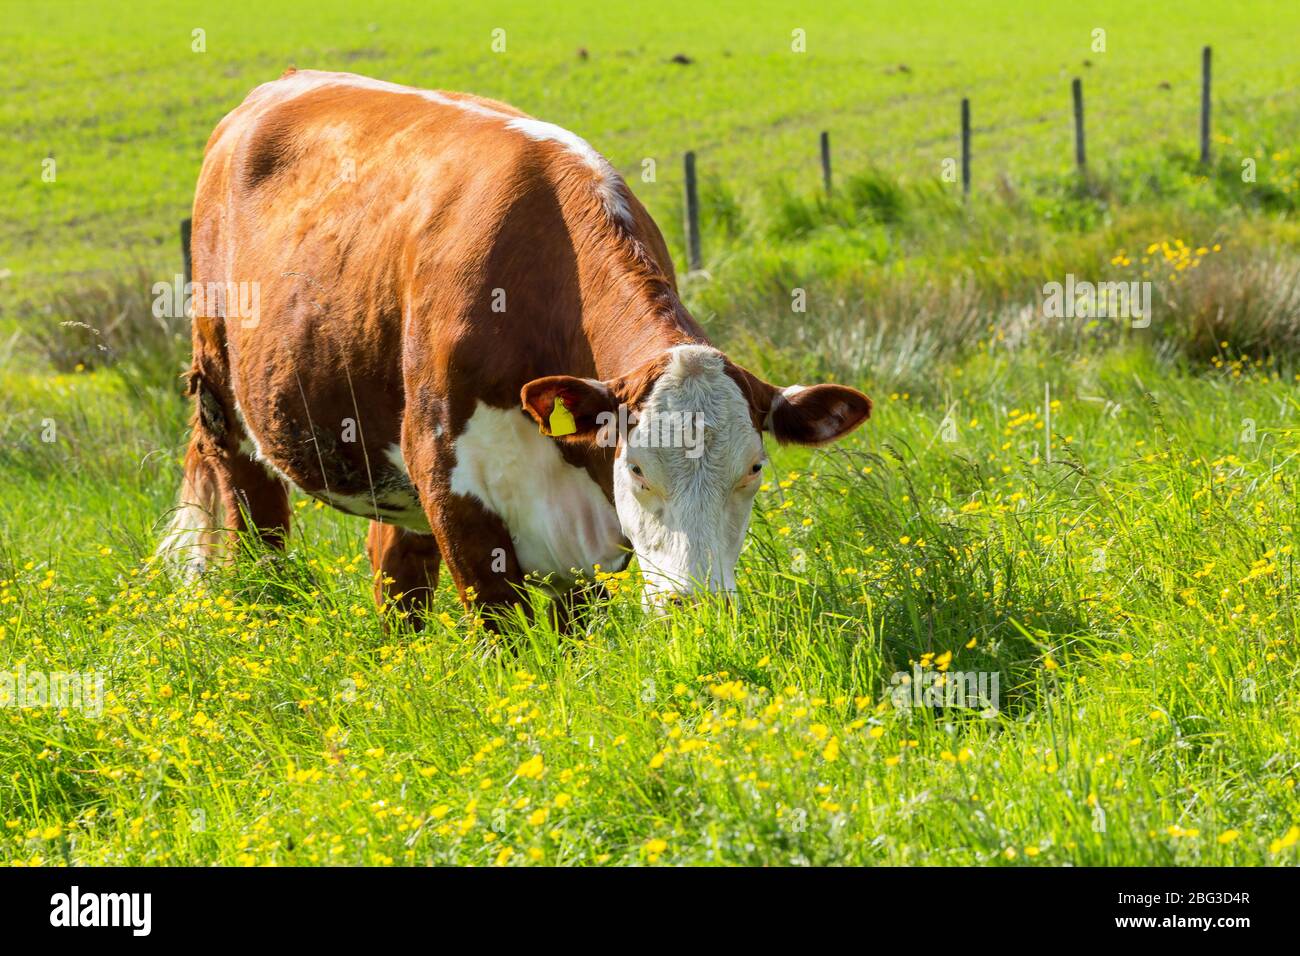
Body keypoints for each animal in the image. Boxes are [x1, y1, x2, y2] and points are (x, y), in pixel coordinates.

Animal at [159, 69, 872, 625]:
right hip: (226, 406)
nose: (695, 607)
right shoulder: (449, 483)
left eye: (754, 469)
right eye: (639, 469)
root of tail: (275, 87)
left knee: (395, 569)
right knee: (259, 535)